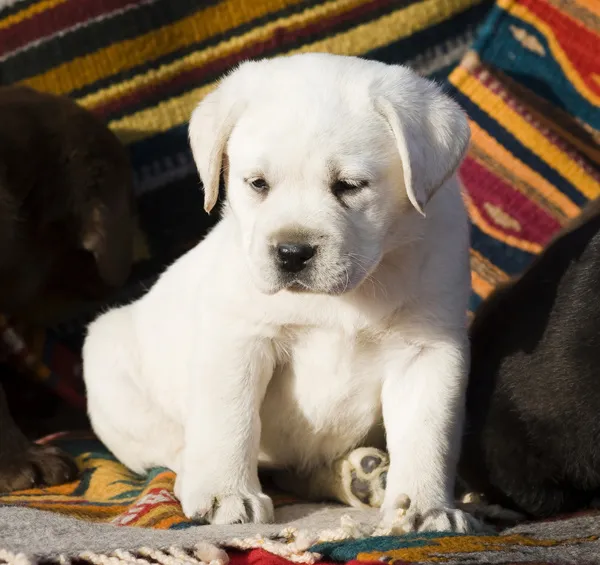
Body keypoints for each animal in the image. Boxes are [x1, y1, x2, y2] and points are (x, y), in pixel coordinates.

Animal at [83, 54, 478, 532]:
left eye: (349, 185)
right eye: (257, 184)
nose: (292, 252)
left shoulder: (428, 350)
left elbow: (427, 434)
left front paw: (424, 508)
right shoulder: (239, 338)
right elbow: (230, 419)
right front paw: (227, 495)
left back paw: (361, 479)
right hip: (107, 358)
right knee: (173, 447)